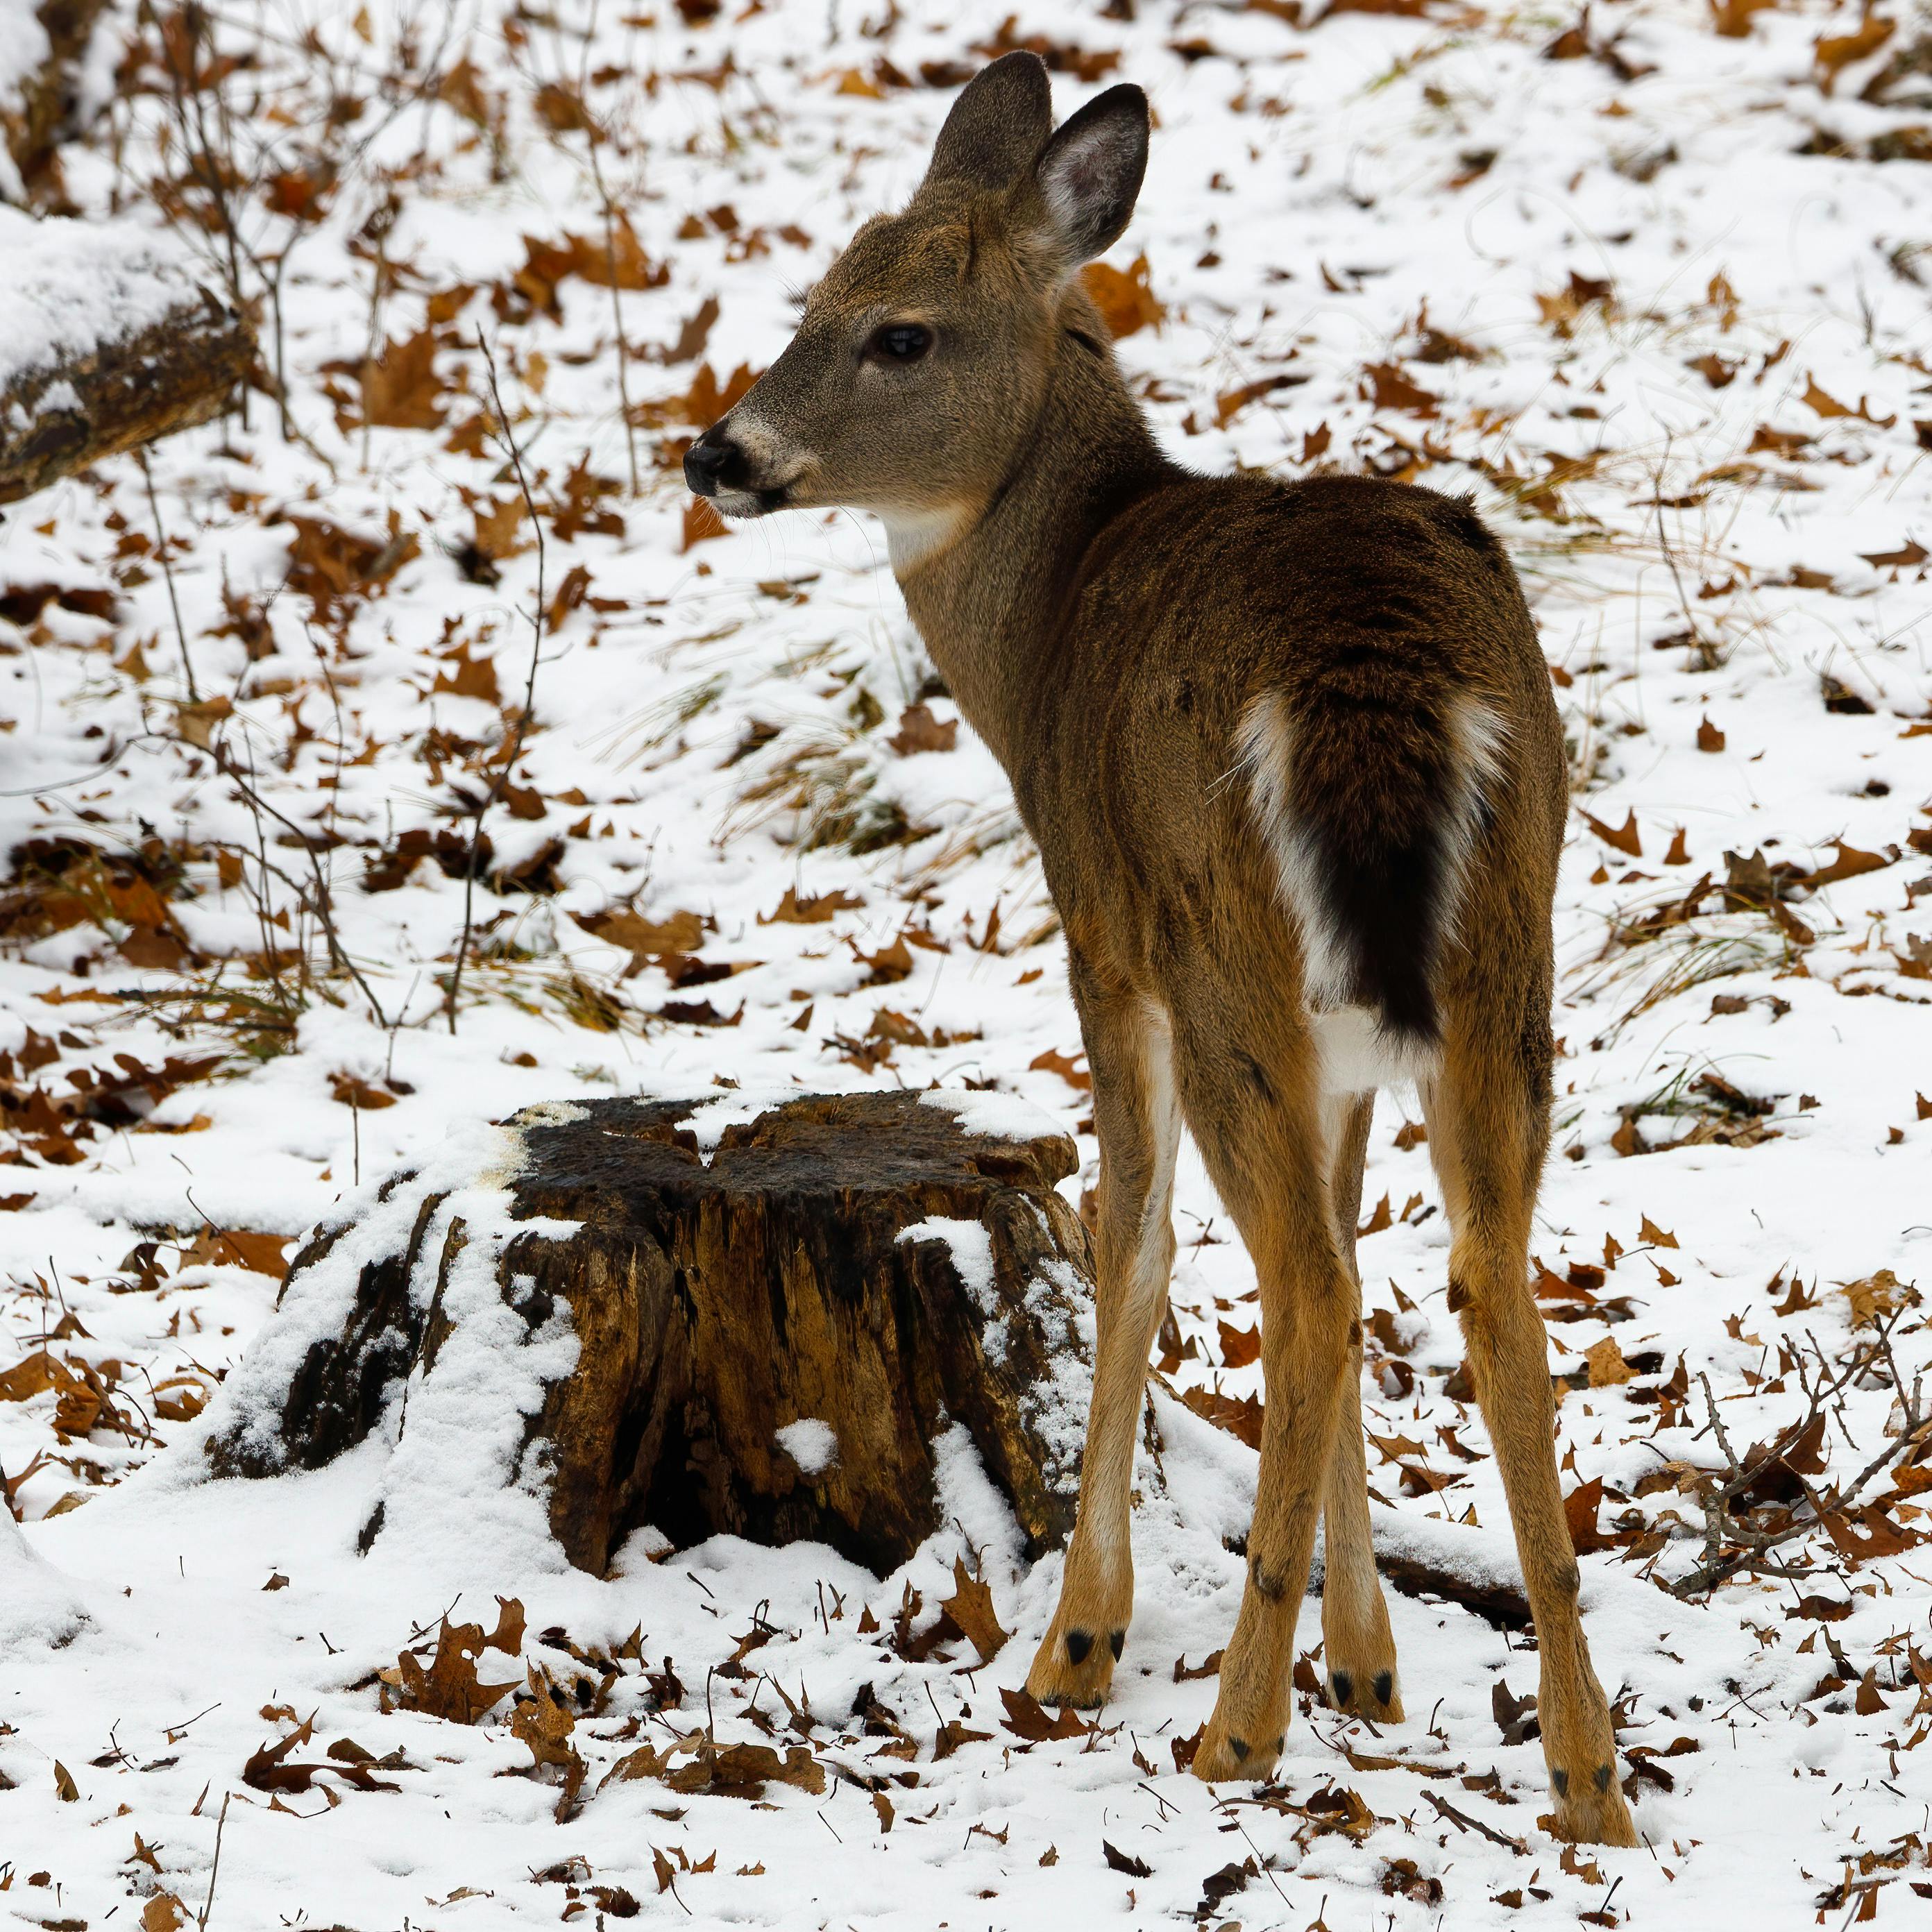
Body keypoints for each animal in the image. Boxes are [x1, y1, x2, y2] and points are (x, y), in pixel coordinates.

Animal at [683, 51, 1637, 1846]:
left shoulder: (1101, 929)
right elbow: (1336, 1238)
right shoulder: (1345, 1040)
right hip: (1505, 964)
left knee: (1308, 1281)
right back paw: (1585, 1774)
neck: (1047, 616)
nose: (719, 451)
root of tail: (1372, 691)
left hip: (1221, 947)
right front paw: (1368, 1661)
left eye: (896, 332)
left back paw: (1232, 1731)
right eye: (810, 295)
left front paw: (1082, 1639)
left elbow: (1124, 1245)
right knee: (1473, 1279)